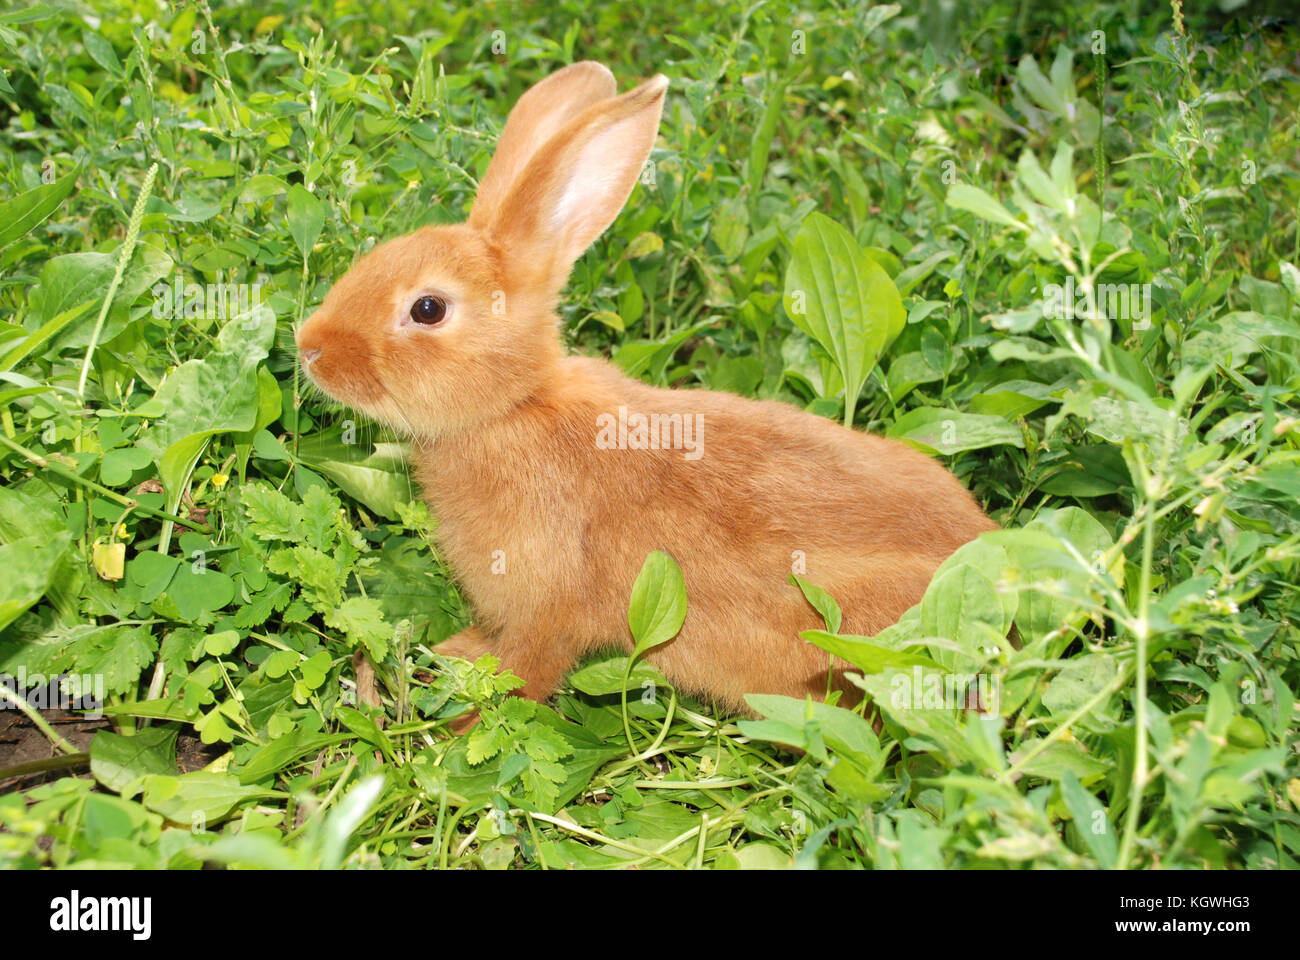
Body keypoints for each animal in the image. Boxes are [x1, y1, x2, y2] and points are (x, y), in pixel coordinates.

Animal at [294, 61, 998, 716]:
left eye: (428, 309)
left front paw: (461, 722)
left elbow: (528, 673)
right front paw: (455, 652)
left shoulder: (548, 606)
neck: (513, 407)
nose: (310, 348)